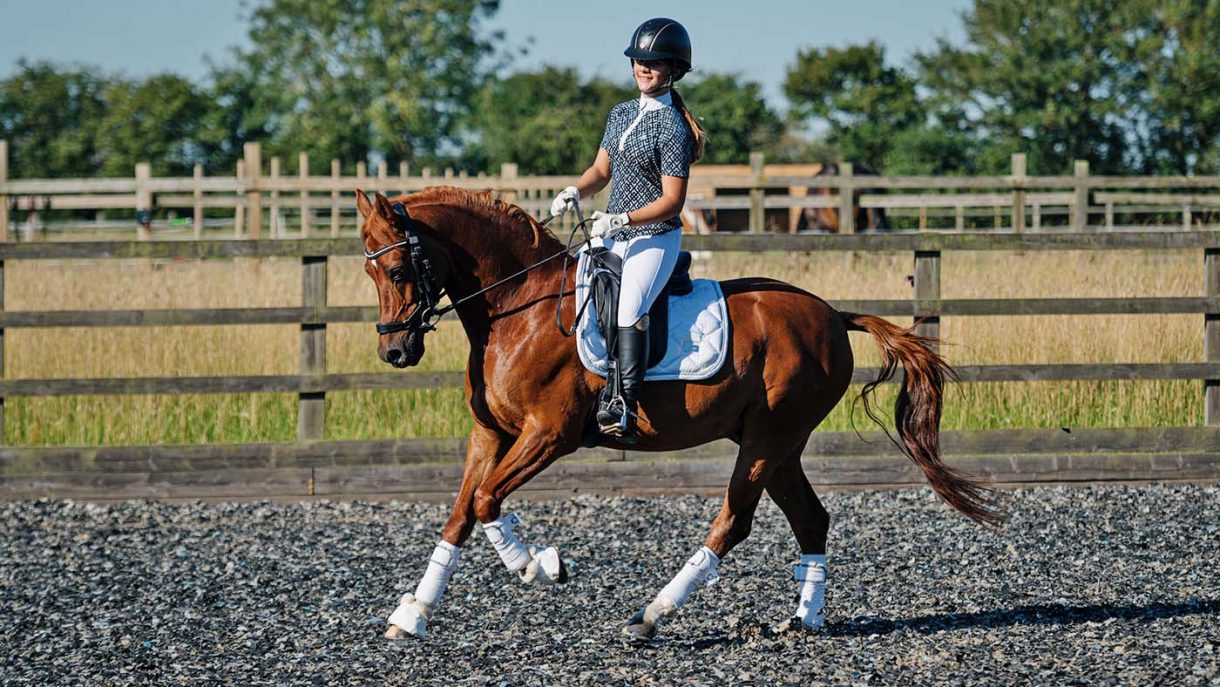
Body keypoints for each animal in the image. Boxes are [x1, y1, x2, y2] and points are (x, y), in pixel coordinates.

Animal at [355, 186, 999, 640]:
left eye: (398, 270)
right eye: (369, 271)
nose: (395, 353)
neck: (520, 308)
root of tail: (831, 315)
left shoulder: (549, 434)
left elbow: (488, 500)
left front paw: (541, 566)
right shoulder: (489, 434)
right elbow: (461, 514)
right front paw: (412, 613)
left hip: (768, 439)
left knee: (734, 521)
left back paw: (651, 615)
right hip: (781, 443)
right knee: (811, 519)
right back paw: (805, 619)